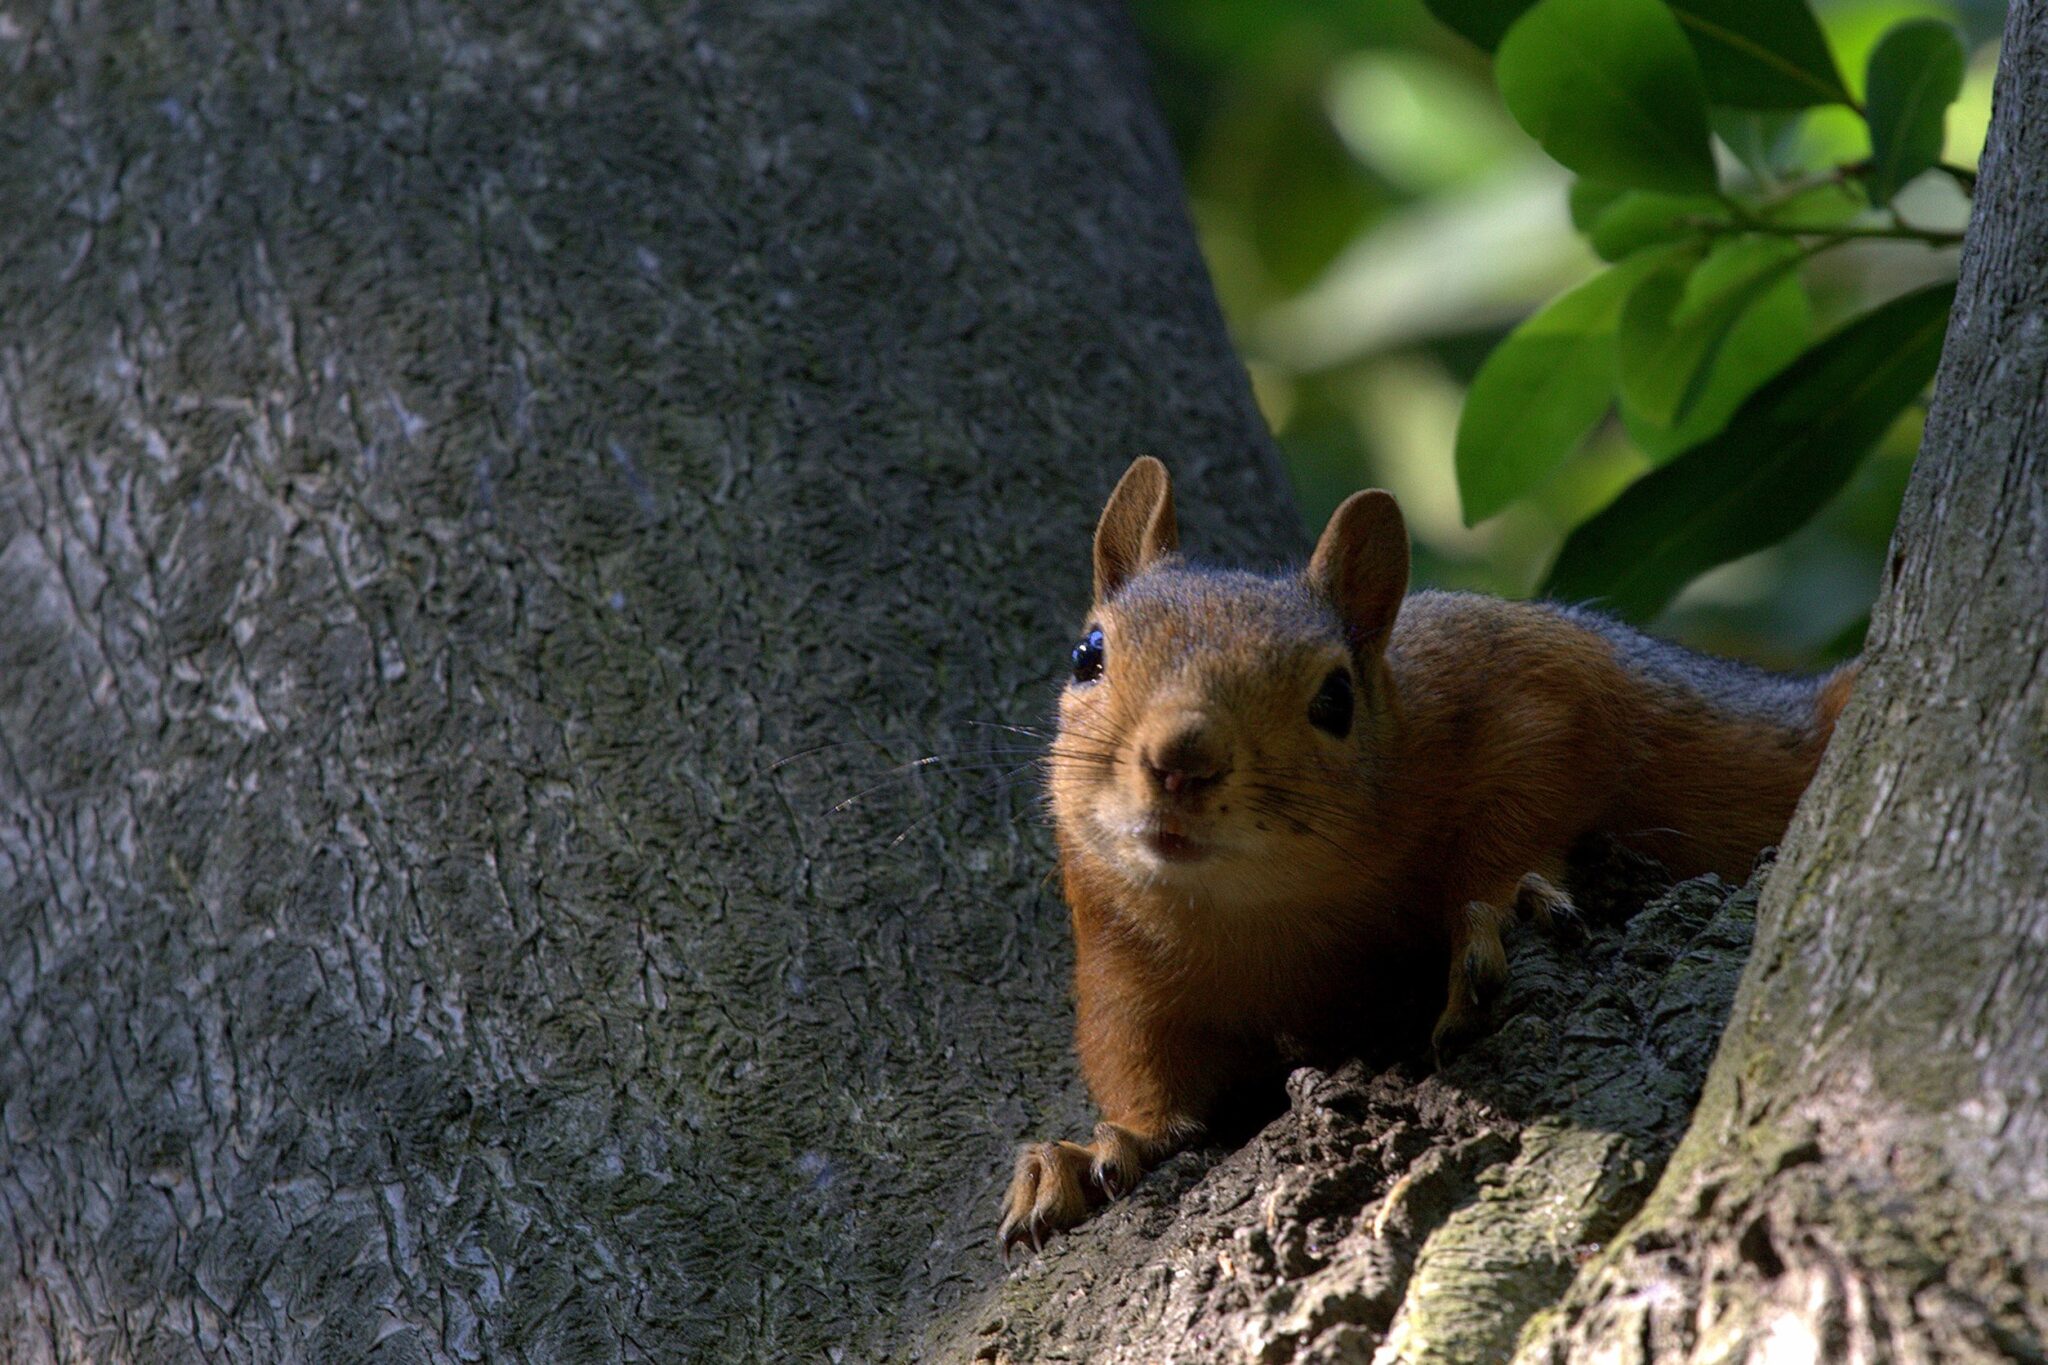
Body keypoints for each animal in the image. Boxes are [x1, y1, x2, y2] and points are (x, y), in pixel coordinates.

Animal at [998, 456, 1857, 1256]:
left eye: (1336, 698)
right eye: (1086, 654)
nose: (1182, 759)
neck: (1260, 910)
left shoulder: (1537, 680)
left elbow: (1528, 807)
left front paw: (1495, 916)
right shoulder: (1122, 960)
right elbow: (1138, 1060)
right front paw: (1094, 1150)